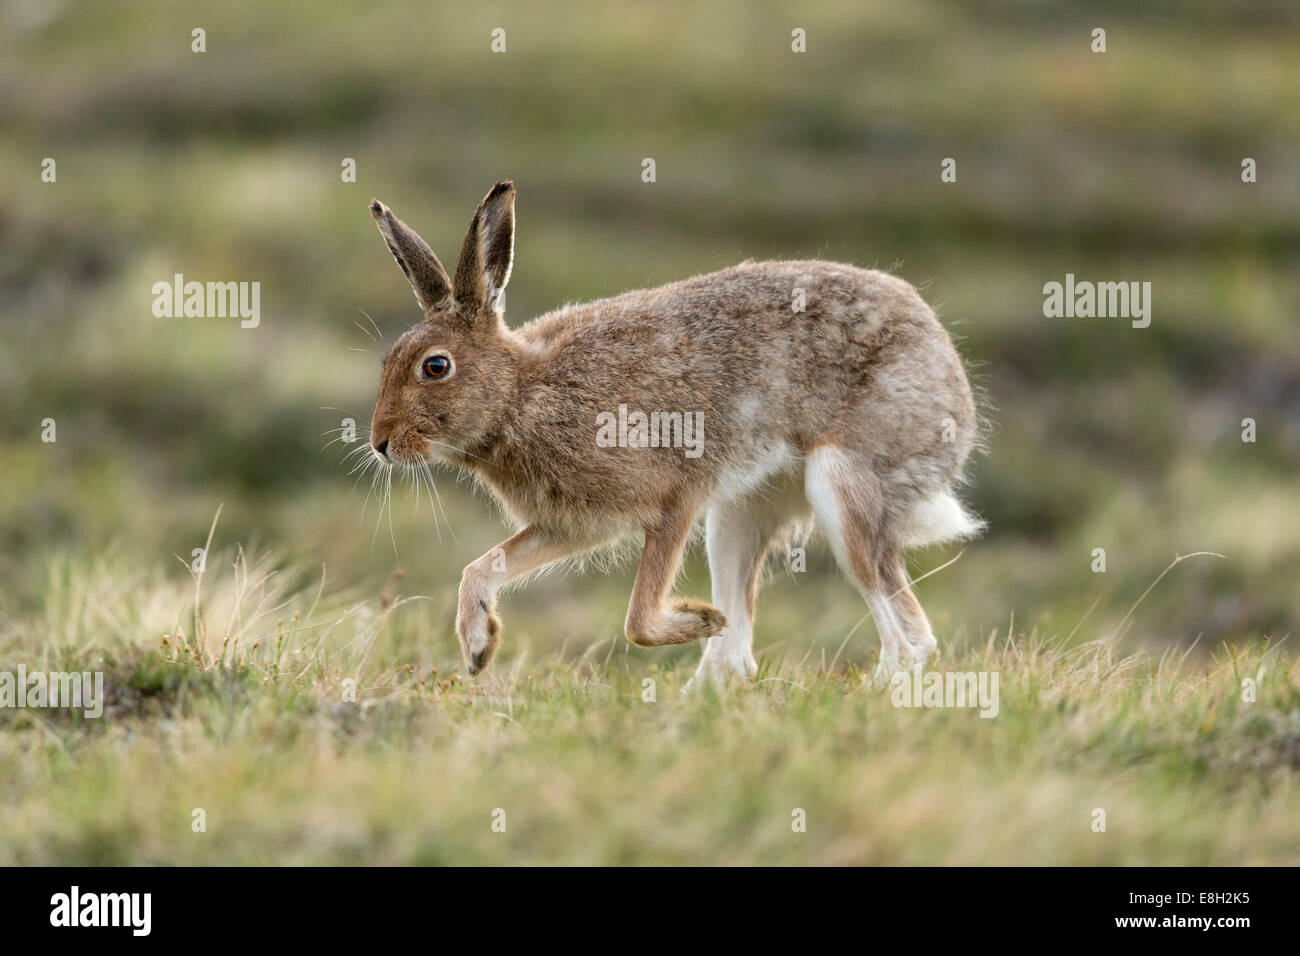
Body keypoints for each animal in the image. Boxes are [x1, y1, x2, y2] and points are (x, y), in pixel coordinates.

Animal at [365, 181, 983, 686]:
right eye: (389, 360)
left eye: (435, 366)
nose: (380, 443)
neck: (520, 395)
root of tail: (950, 375)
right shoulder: (573, 523)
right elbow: (481, 567)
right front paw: (478, 647)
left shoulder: (671, 500)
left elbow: (637, 620)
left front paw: (699, 618)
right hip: (738, 515)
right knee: (741, 649)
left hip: (845, 485)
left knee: (908, 632)